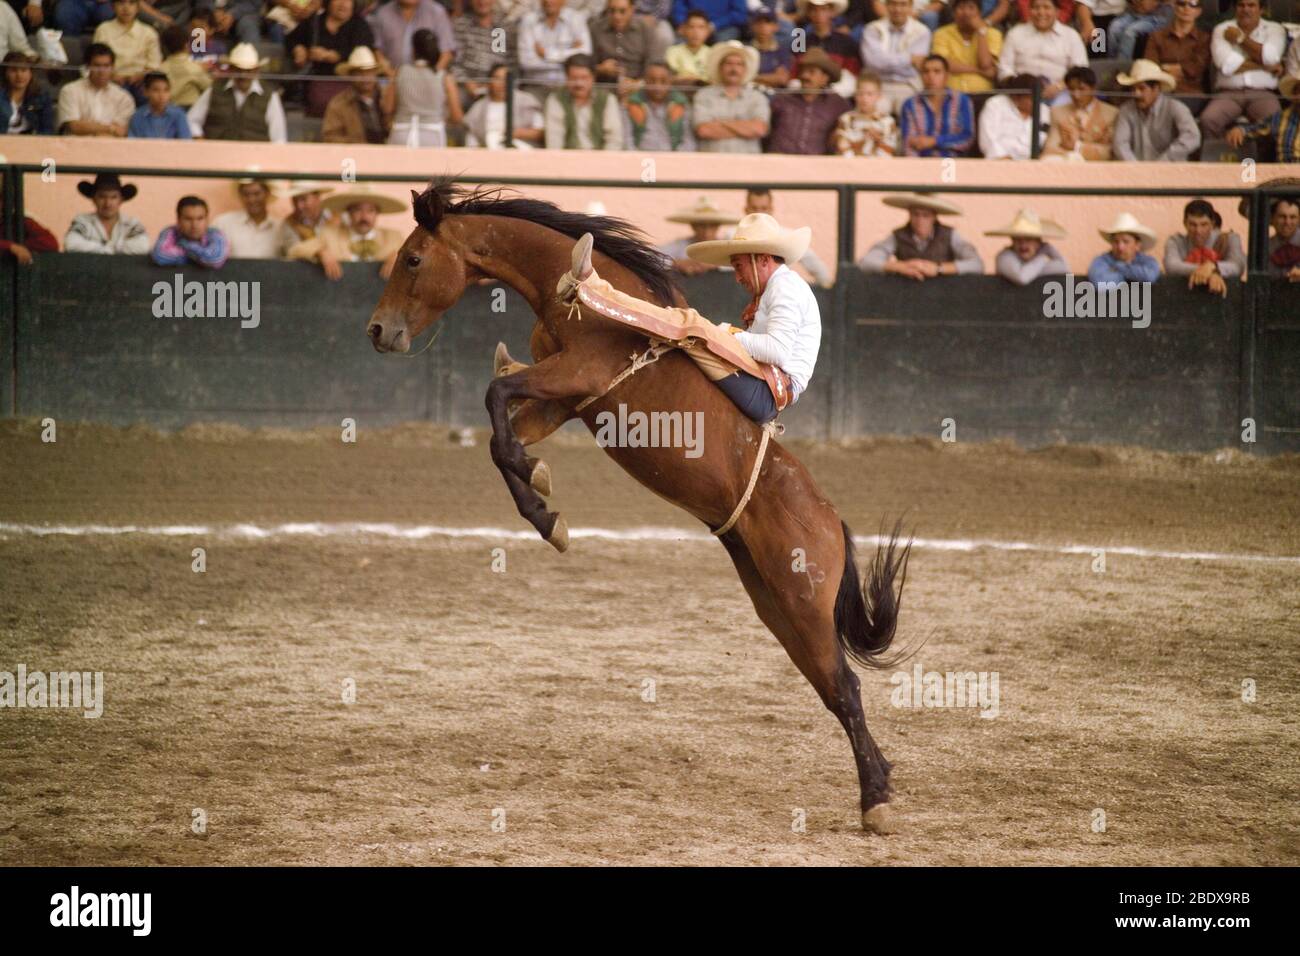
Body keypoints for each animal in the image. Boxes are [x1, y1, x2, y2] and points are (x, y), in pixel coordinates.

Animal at [366, 178, 911, 833]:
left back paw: (876, 802)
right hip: (780, 609)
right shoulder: (565, 400)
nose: (377, 331)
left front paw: (543, 504)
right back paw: (881, 783)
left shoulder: (575, 374)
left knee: (846, 688)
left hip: (803, 604)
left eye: (412, 258)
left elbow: (496, 394)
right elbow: (503, 437)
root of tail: (832, 522)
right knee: (834, 687)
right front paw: (543, 501)